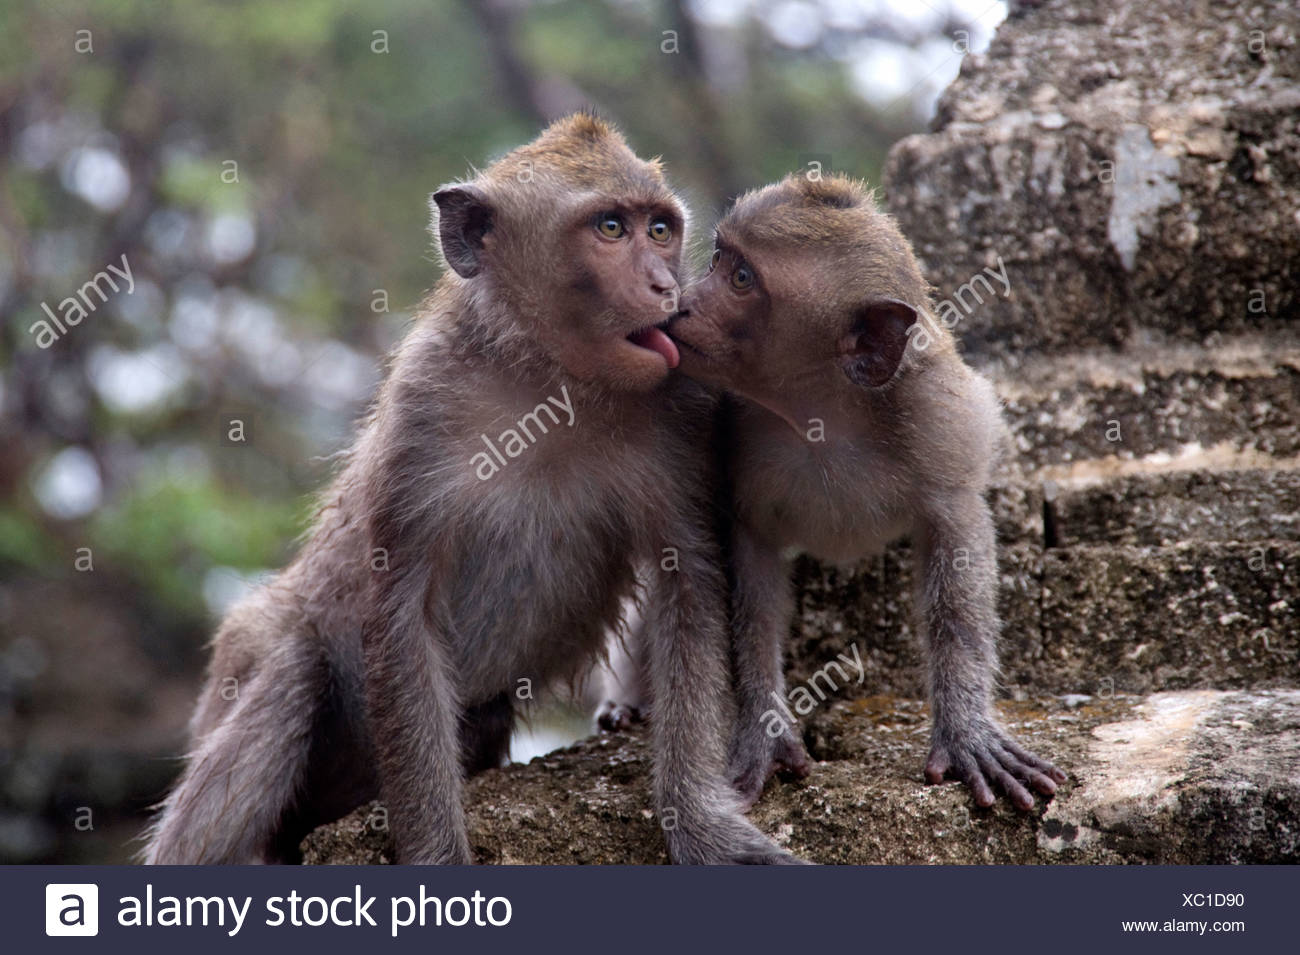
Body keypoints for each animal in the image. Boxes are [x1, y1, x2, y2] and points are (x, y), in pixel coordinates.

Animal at [143, 114, 797, 865]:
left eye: (660, 229)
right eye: (610, 228)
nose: (666, 286)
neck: (551, 378)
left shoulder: (683, 406)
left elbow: (686, 578)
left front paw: (698, 823)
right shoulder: (423, 402)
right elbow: (403, 606)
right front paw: (438, 857)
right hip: (245, 658)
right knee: (292, 669)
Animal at [650, 172, 1068, 810]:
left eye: (741, 279)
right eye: (719, 260)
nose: (684, 300)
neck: (821, 413)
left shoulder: (941, 423)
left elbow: (956, 557)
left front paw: (966, 730)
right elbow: (751, 576)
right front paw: (765, 727)